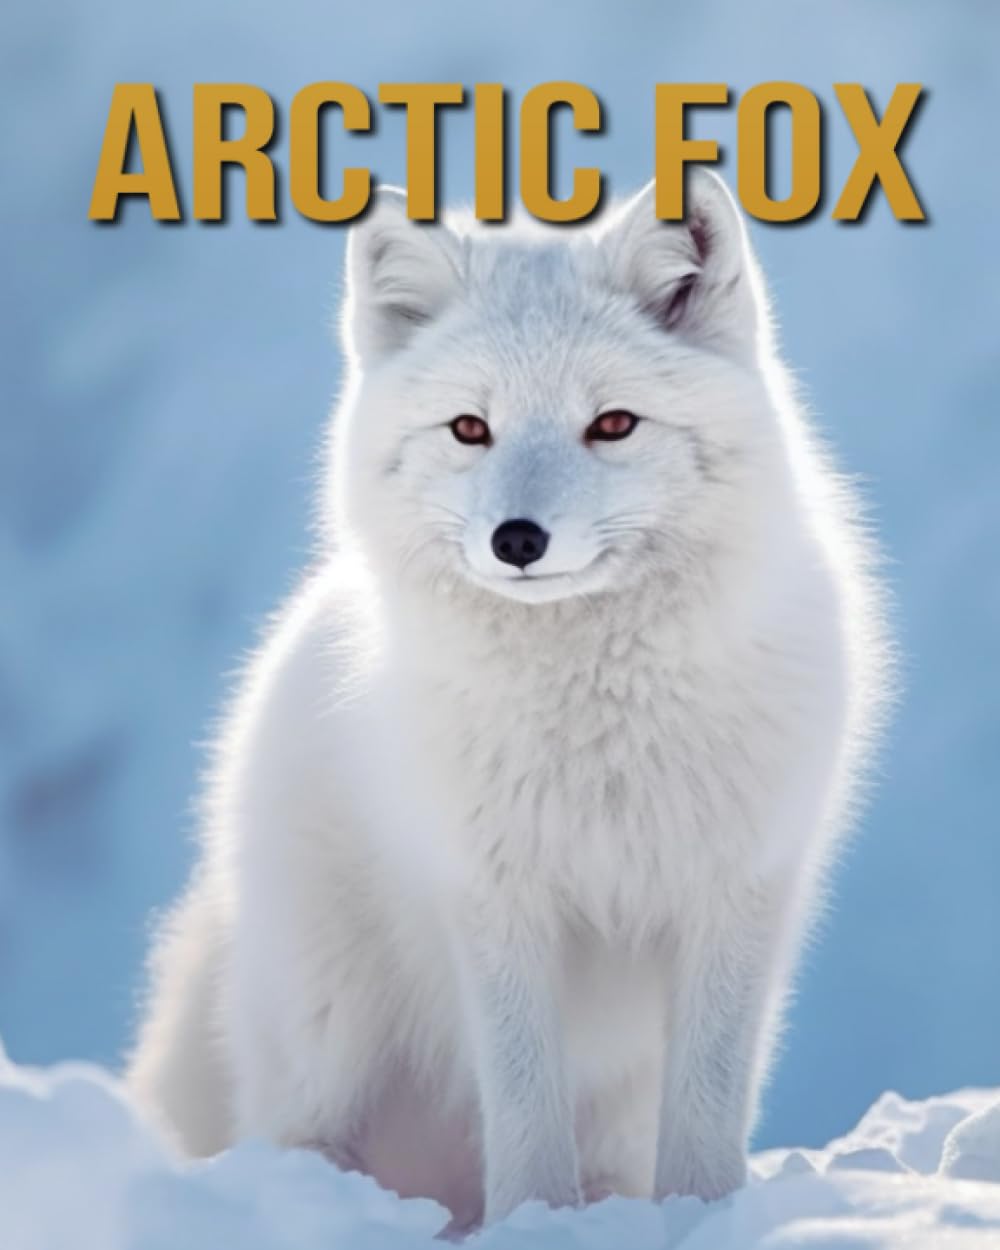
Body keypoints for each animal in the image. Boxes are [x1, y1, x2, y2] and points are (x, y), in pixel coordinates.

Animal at [127, 170, 891, 1231]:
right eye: (469, 428)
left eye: (612, 424)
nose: (516, 539)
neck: (601, 722)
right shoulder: (493, 898)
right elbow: (525, 1104)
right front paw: (539, 1220)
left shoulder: (735, 891)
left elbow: (705, 1104)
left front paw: (700, 1213)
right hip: (331, 1026)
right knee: (297, 1131)